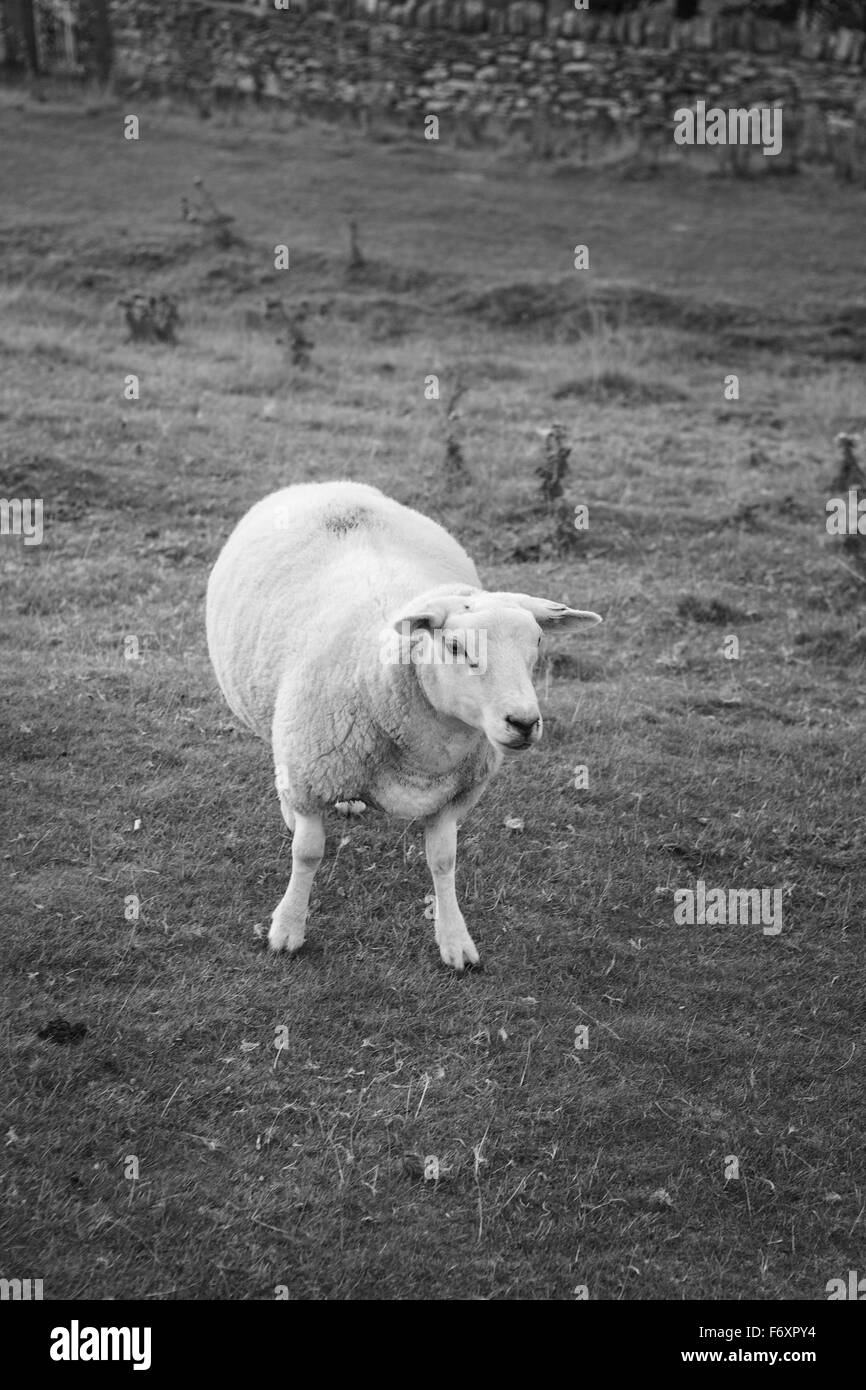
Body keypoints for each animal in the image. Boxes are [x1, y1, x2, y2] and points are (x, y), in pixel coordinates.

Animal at [206, 481, 602, 970]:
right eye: (455, 646)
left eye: (539, 641)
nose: (524, 722)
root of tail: (328, 485)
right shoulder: (310, 773)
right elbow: (308, 853)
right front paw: (288, 927)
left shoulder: (454, 797)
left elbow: (444, 861)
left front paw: (454, 939)